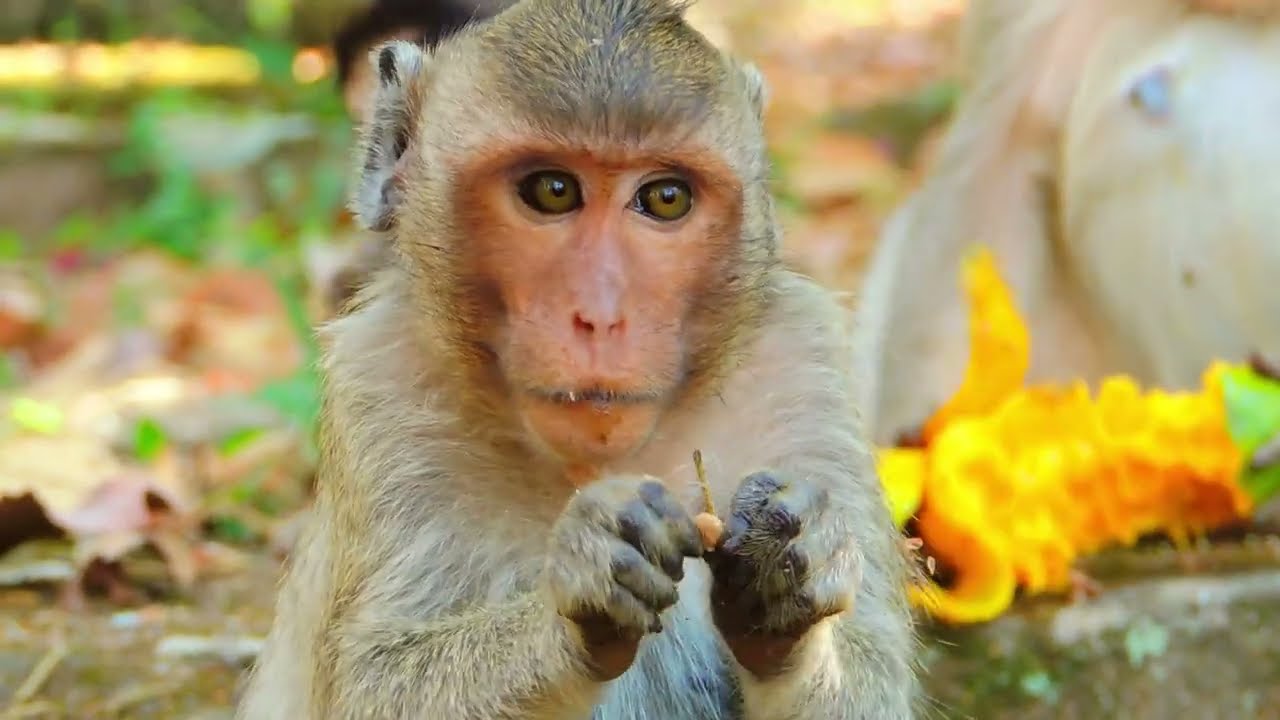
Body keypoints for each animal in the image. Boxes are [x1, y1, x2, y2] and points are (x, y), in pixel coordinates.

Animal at [236, 0, 917, 718]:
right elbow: (371, 680)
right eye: (553, 191)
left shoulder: (803, 362)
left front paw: (787, 585)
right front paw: (579, 597)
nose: (602, 314)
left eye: (665, 198)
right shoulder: (376, 381)